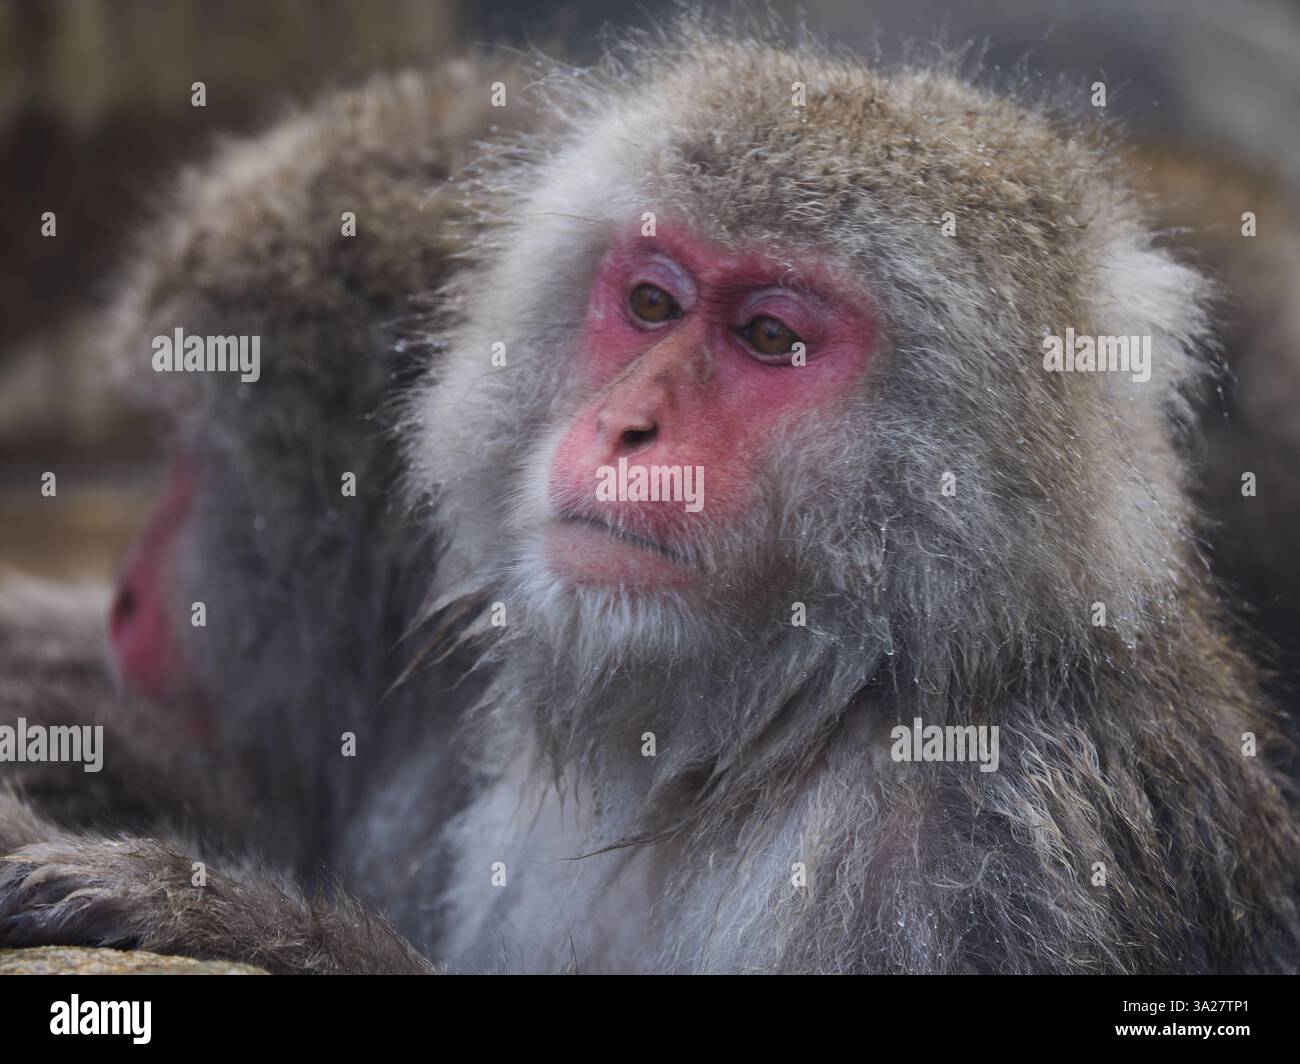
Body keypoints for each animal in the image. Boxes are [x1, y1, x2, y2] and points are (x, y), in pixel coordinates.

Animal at [2, 27, 1299, 973]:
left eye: (770, 336)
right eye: (651, 303)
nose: (627, 426)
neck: (786, 720)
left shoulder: (981, 856)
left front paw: (208, 905)